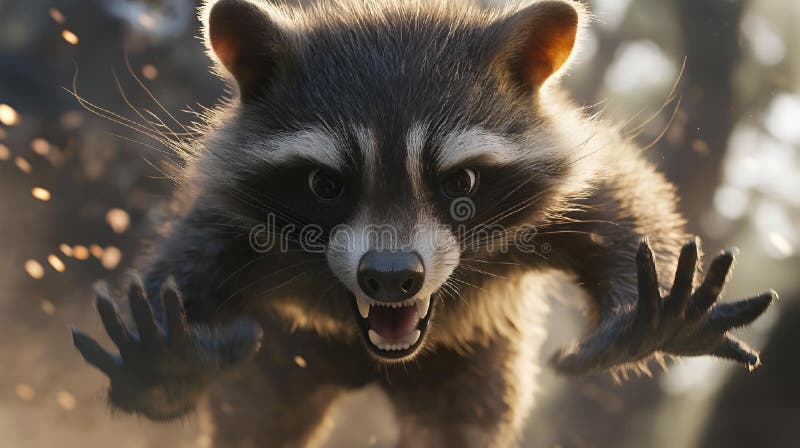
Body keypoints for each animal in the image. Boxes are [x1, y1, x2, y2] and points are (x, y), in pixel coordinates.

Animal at [72, 0, 777, 446]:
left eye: (460, 183)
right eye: (325, 185)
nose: (390, 278)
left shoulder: (565, 170)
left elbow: (616, 202)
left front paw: (649, 313)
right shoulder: (234, 221)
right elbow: (188, 258)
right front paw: (166, 365)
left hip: (471, 358)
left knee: (462, 422)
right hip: (285, 358)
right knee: (259, 420)